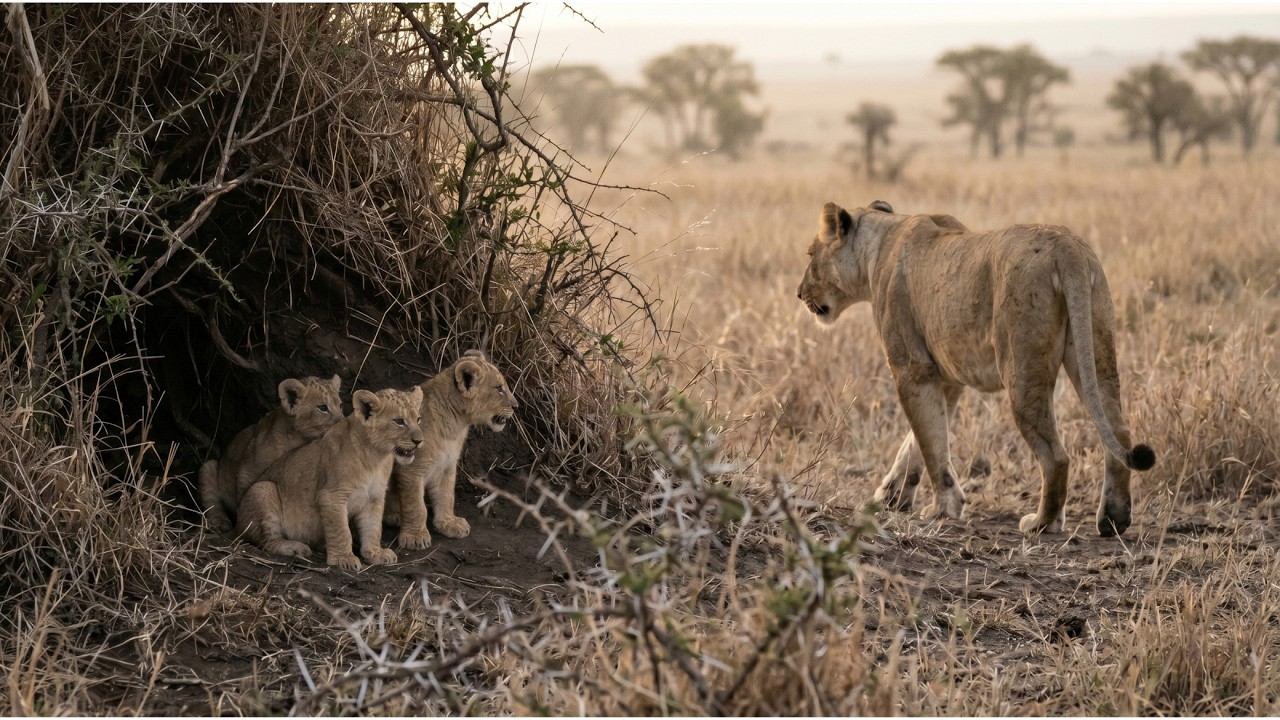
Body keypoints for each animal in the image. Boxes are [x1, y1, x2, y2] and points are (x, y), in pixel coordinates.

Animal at [198, 375, 343, 533]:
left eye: (340, 405)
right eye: (323, 408)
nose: (343, 422)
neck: (297, 437)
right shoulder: (247, 471)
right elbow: (247, 496)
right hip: (209, 466)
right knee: (211, 500)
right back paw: (220, 522)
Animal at [235, 386, 424, 569]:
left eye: (418, 419)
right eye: (399, 421)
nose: (419, 441)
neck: (376, 457)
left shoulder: (374, 497)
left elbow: (373, 528)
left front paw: (375, 554)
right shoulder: (332, 496)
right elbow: (341, 531)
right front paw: (343, 559)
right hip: (262, 489)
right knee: (267, 541)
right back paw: (295, 547)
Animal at [385, 350, 516, 549]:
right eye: (499, 388)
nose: (516, 406)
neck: (455, 425)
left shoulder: (446, 465)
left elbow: (446, 495)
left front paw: (448, 523)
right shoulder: (411, 467)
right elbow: (416, 506)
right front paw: (415, 536)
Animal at [797, 200, 1155, 536]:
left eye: (811, 254)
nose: (799, 294)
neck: (877, 246)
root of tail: (1067, 246)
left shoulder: (912, 369)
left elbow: (931, 444)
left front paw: (943, 507)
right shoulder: (947, 377)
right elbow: (919, 439)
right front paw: (891, 496)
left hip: (1022, 366)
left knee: (1056, 456)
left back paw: (1042, 523)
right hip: (1095, 350)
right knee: (1118, 430)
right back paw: (1113, 518)